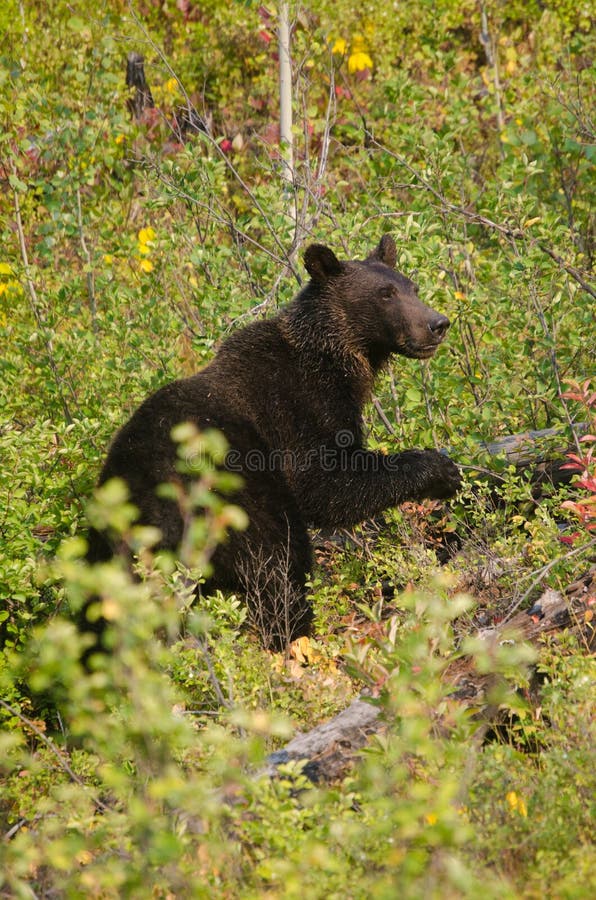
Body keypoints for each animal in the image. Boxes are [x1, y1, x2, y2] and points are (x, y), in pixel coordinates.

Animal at [81, 234, 460, 656]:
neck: (338, 359)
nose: (437, 324)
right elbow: (327, 484)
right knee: (277, 563)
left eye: (413, 287)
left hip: (109, 544)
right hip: (236, 498)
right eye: (385, 294)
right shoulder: (298, 407)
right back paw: (294, 635)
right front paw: (440, 470)